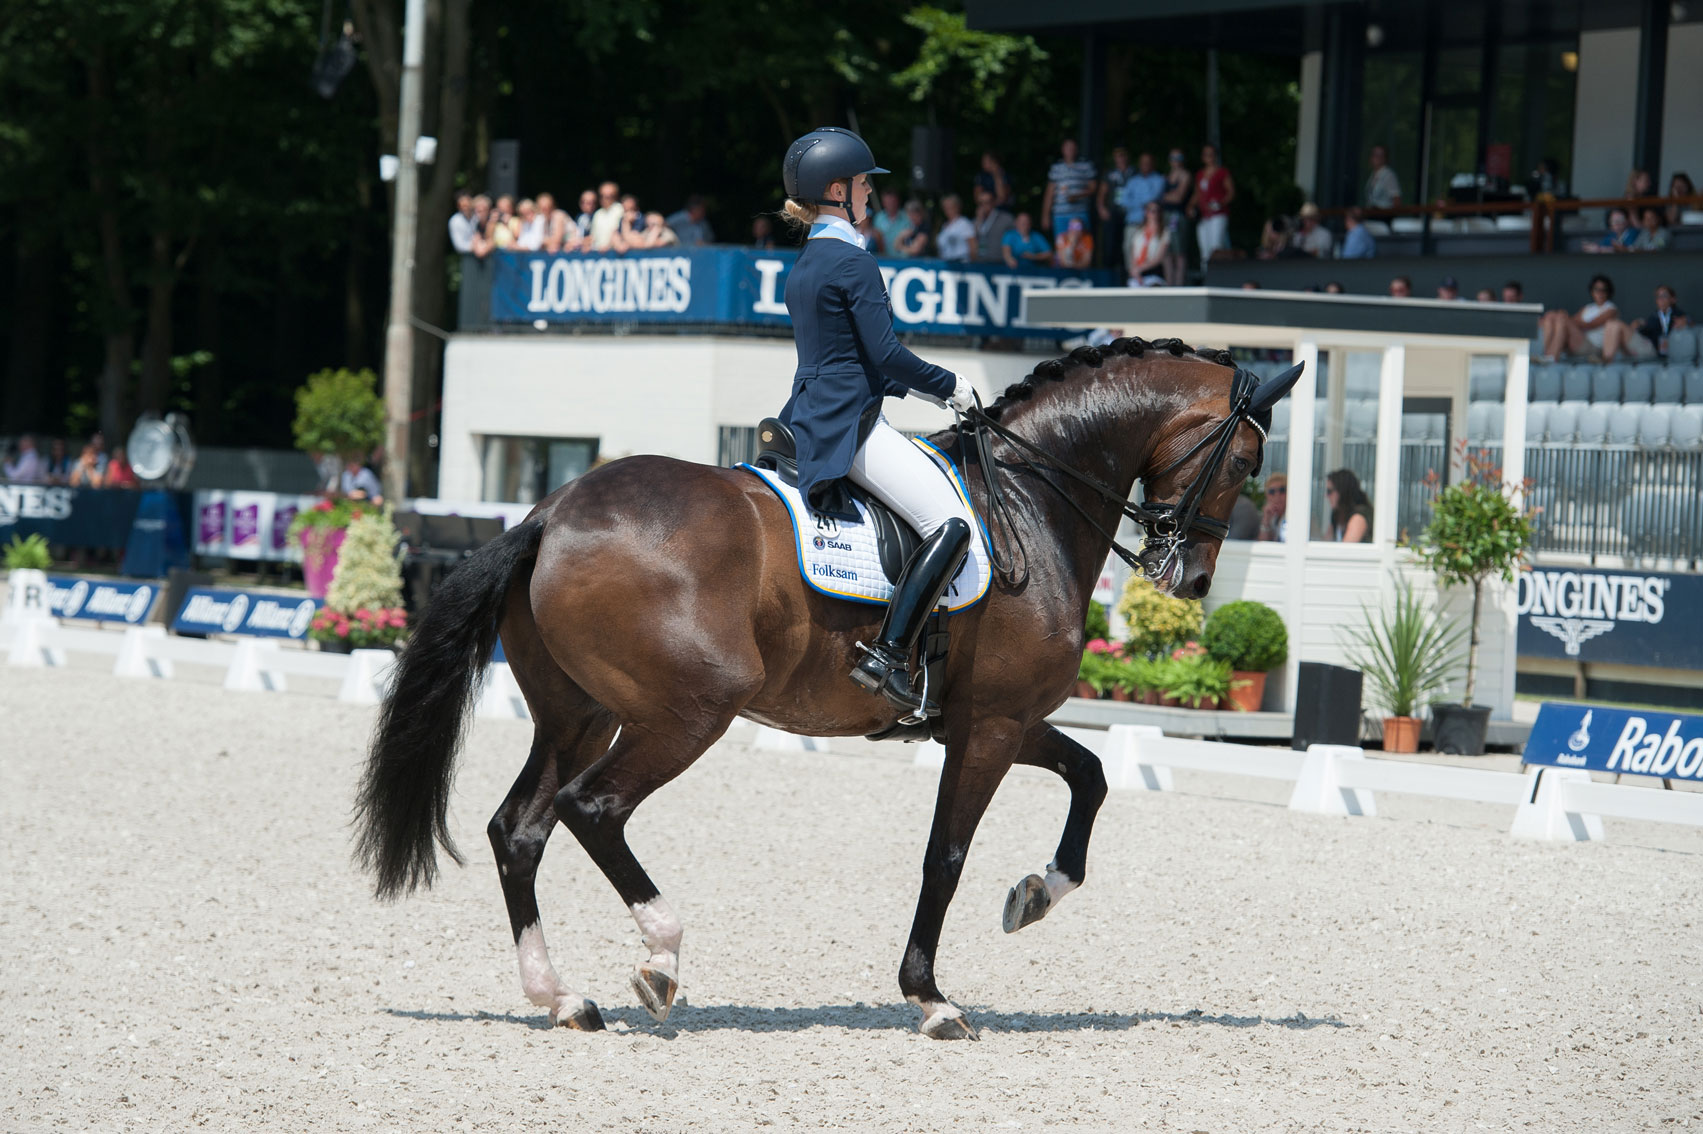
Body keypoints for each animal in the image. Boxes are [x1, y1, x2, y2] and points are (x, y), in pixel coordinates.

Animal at [354, 336, 1300, 1040]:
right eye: (1247, 460)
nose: (1189, 579)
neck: (1032, 497)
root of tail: (552, 513)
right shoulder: (993, 725)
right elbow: (944, 855)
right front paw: (931, 998)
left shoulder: (990, 718)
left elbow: (1092, 776)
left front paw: (1034, 894)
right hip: (688, 711)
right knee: (591, 809)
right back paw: (659, 958)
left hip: (576, 713)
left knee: (520, 829)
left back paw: (561, 998)